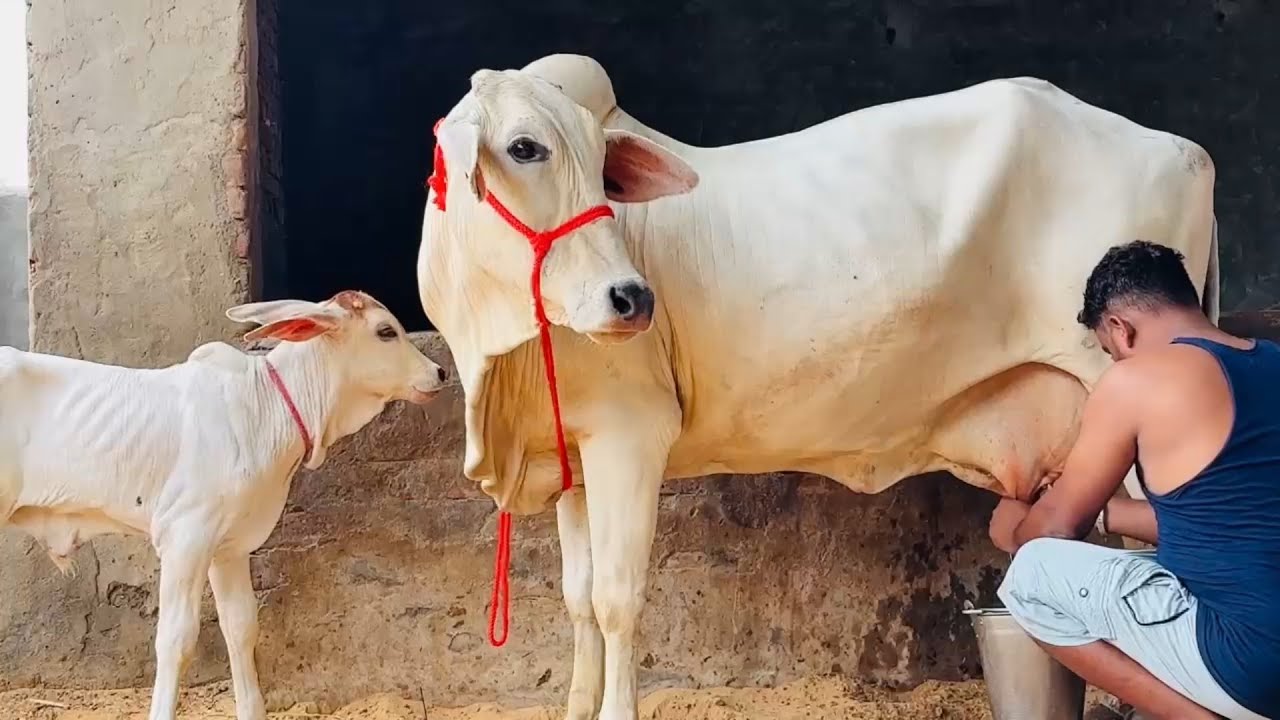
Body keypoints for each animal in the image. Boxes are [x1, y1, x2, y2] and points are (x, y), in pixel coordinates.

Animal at [416, 54, 1218, 720]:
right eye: (525, 147)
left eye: (601, 162)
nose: (630, 299)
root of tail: (1186, 147)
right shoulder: (575, 457)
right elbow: (578, 602)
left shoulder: (630, 435)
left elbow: (616, 599)